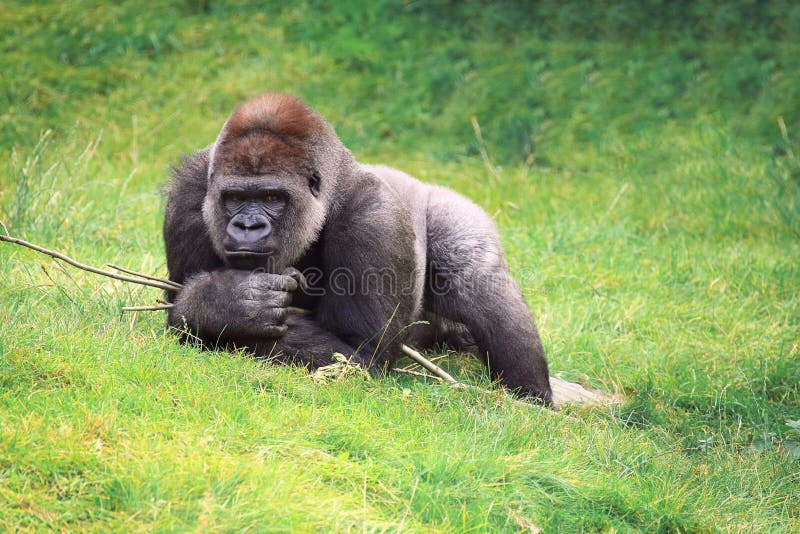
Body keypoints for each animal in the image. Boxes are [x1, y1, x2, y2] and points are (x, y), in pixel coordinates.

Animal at [163, 93, 552, 404]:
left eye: (273, 198)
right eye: (235, 198)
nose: (247, 226)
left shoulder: (374, 221)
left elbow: (359, 357)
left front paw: (222, 304)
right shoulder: (190, 189)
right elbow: (183, 322)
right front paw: (222, 302)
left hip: (455, 210)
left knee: (476, 279)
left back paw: (531, 397)